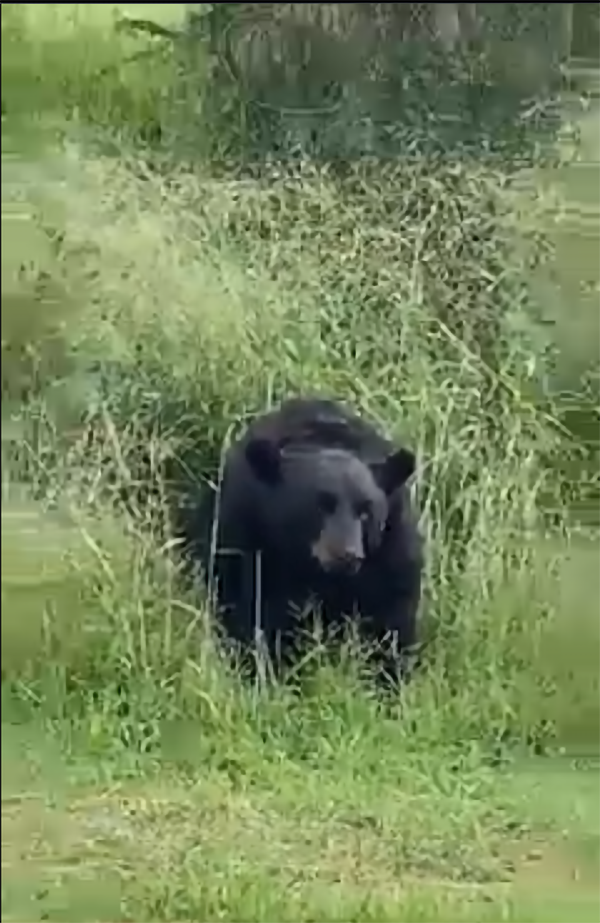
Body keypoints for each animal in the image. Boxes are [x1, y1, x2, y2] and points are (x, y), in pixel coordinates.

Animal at [176, 397, 423, 686]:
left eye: (366, 512)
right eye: (322, 504)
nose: (348, 555)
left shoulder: (390, 554)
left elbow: (389, 626)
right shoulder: (249, 542)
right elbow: (253, 616)